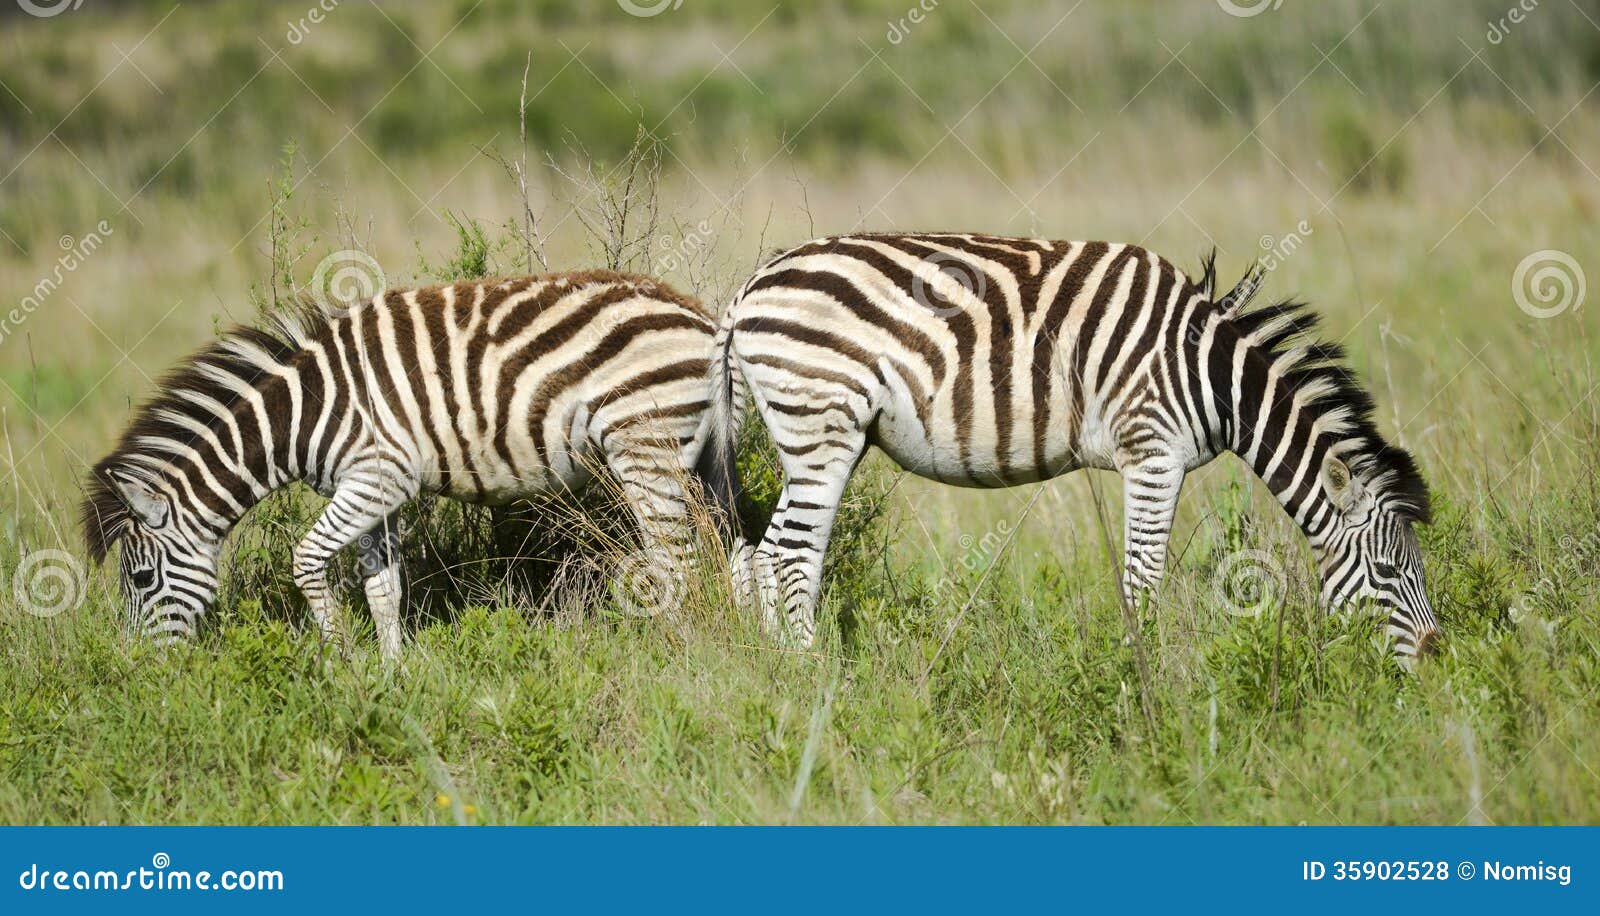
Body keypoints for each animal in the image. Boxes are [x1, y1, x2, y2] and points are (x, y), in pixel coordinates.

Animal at [83, 271, 729, 659]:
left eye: (141, 580)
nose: (143, 672)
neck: (304, 413)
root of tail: (700, 316)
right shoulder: (376, 492)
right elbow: (382, 587)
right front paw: (393, 674)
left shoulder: (376, 477)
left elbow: (306, 562)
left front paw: (341, 661)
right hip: (693, 453)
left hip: (643, 443)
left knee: (676, 558)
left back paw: (674, 647)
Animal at [706, 233, 1438, 662]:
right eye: (1389, 573)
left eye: (1417, 571)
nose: (1436, 654)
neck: (1214, 376)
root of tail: (748, 288)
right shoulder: (1153, 452)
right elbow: (1142, 580)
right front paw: (1147, 681)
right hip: (820, 426)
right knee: (792, 559)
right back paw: (813, 682)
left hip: (820, 436)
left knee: (763, 555)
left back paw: (779, 674)